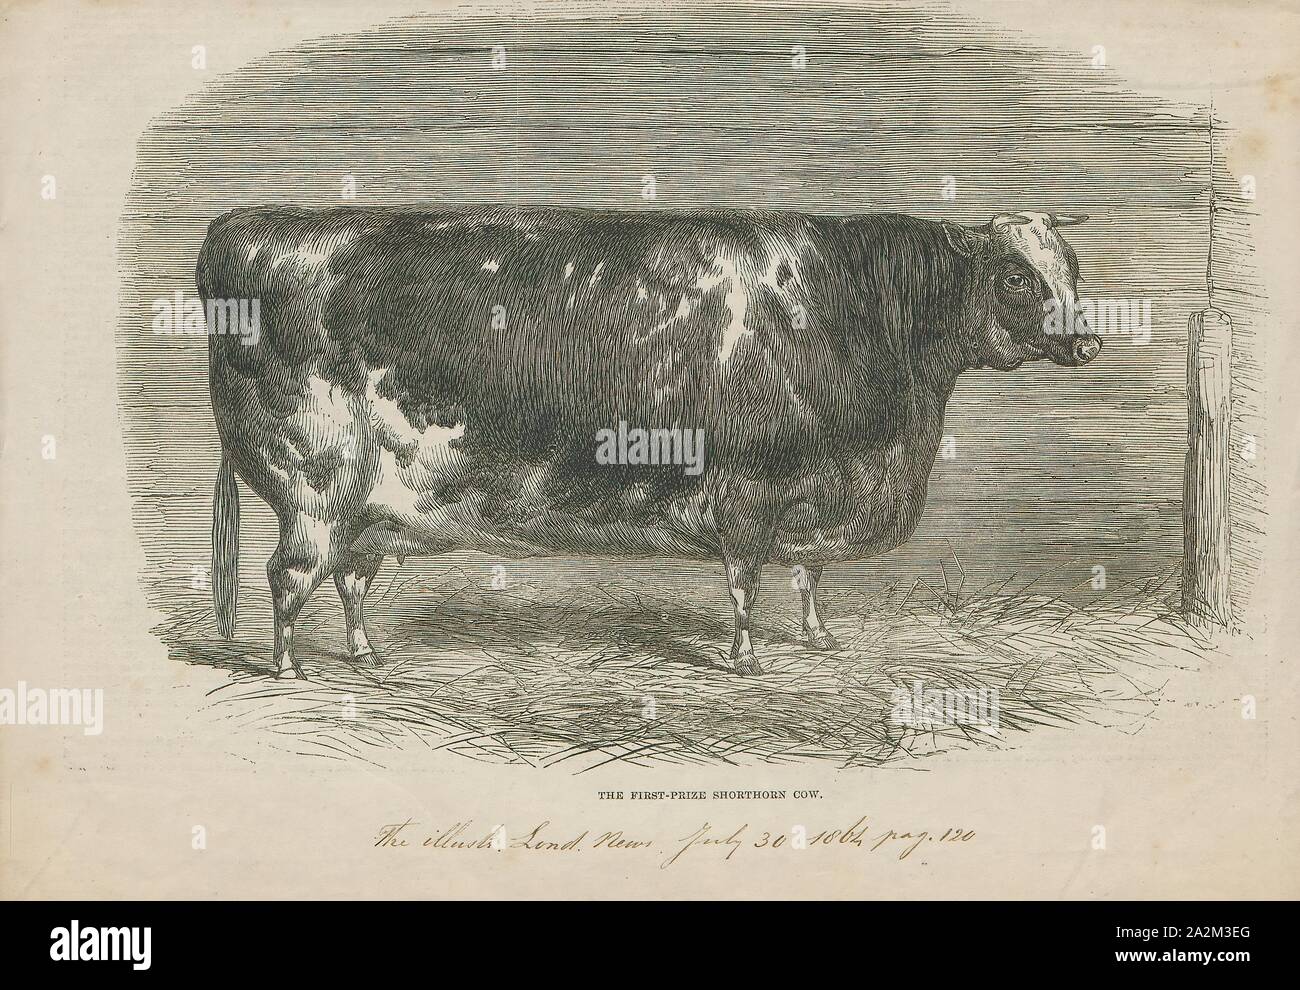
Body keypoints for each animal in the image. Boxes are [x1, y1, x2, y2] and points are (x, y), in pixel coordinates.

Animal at [199, 206, 1100, 679]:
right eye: (1017, 275)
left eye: (1074, 268)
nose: (1088, 342)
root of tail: (242, 228)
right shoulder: (749, 489)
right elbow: (745, 583)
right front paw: (745, 659)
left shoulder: (813, 488)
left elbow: (807, 575)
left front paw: (818, 637)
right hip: (314, 482)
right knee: (289, 576)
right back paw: (289, 668)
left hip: (372, 505)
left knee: (350, 579)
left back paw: (366, 655)